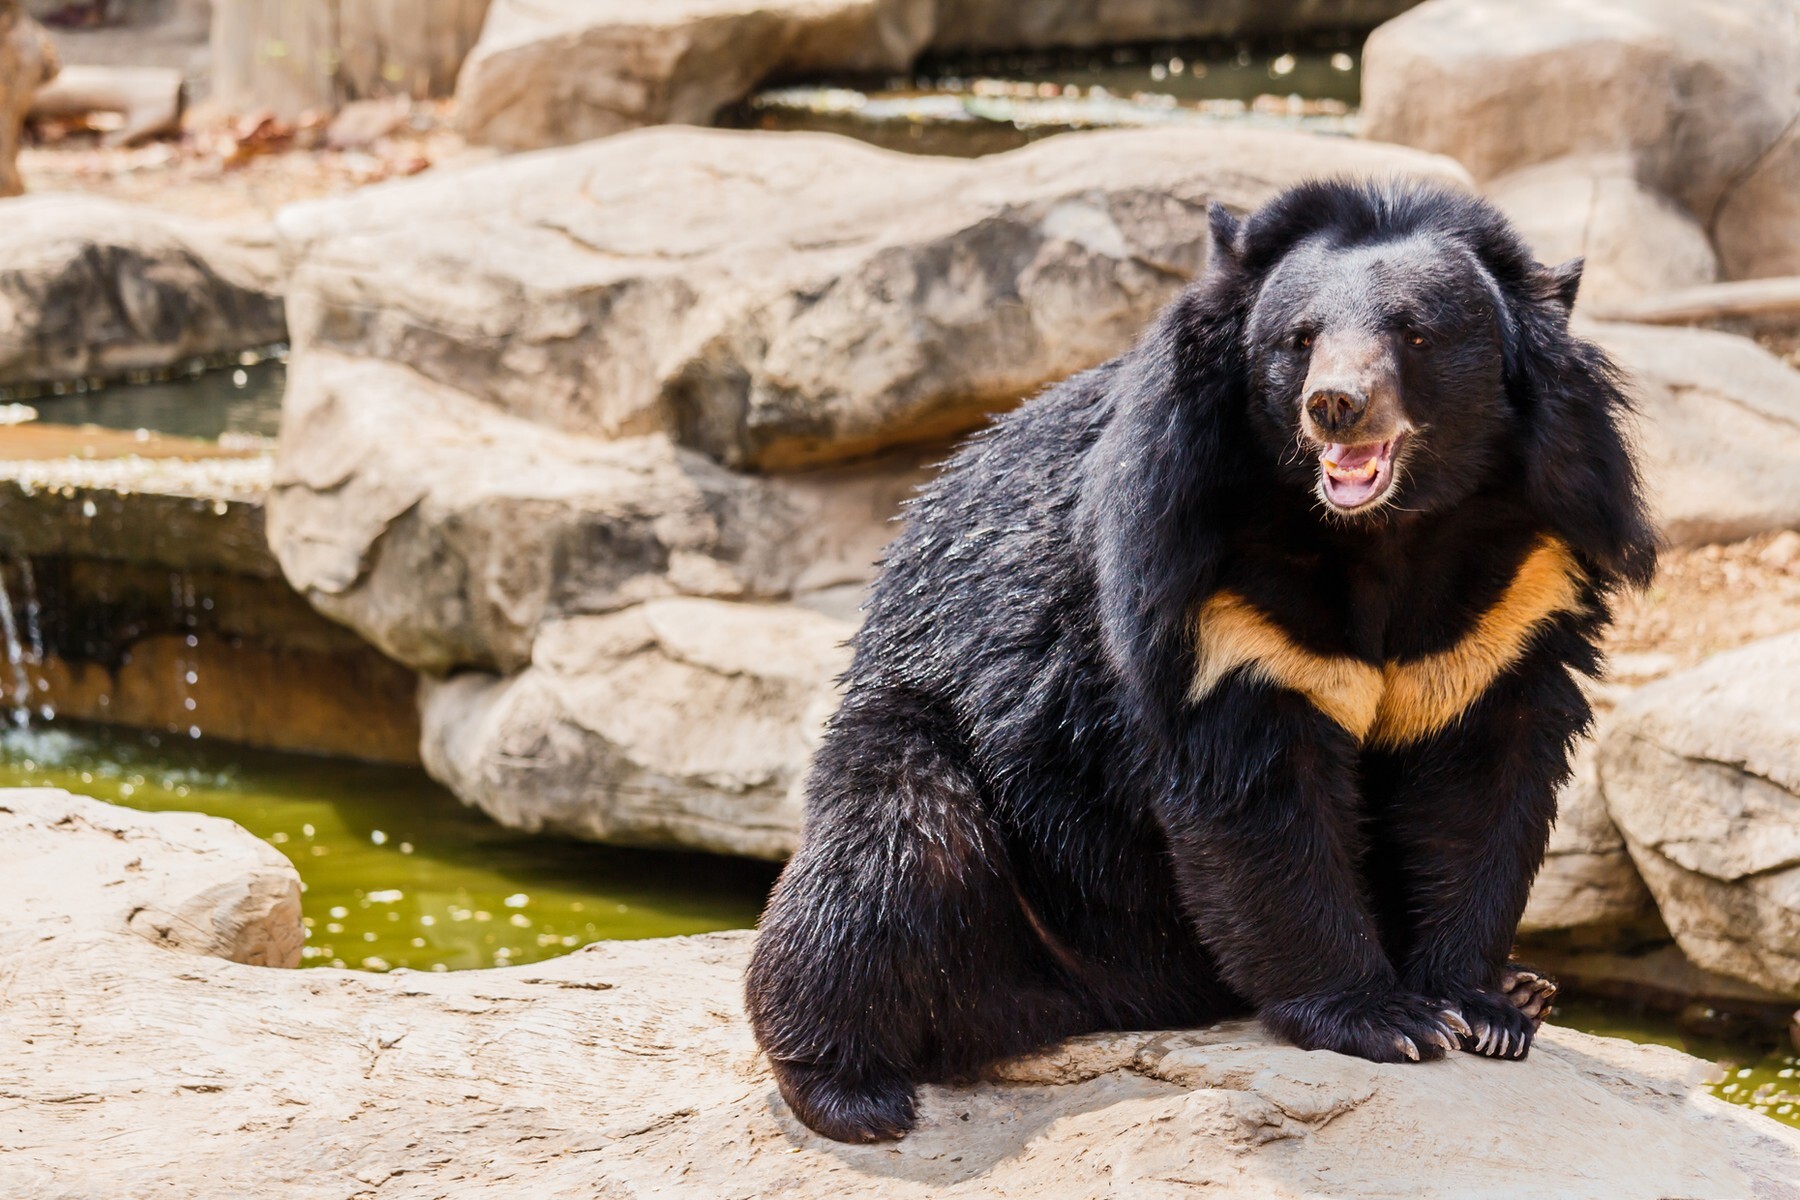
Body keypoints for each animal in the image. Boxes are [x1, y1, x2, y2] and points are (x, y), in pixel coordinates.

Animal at [745, 179, 1657, 1144]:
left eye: (1415, 333)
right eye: (1299, 339)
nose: (1336, 404)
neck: (1382, 533)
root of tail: (1111, 1000)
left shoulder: (1515, 593)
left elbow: (1482, 788)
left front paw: (1480, 1007)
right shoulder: (1212, 592)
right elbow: (1257, 796)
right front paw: (1387, 1019)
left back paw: (1531, 987)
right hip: (955, 760)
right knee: (888, 851)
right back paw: (851, 1092)